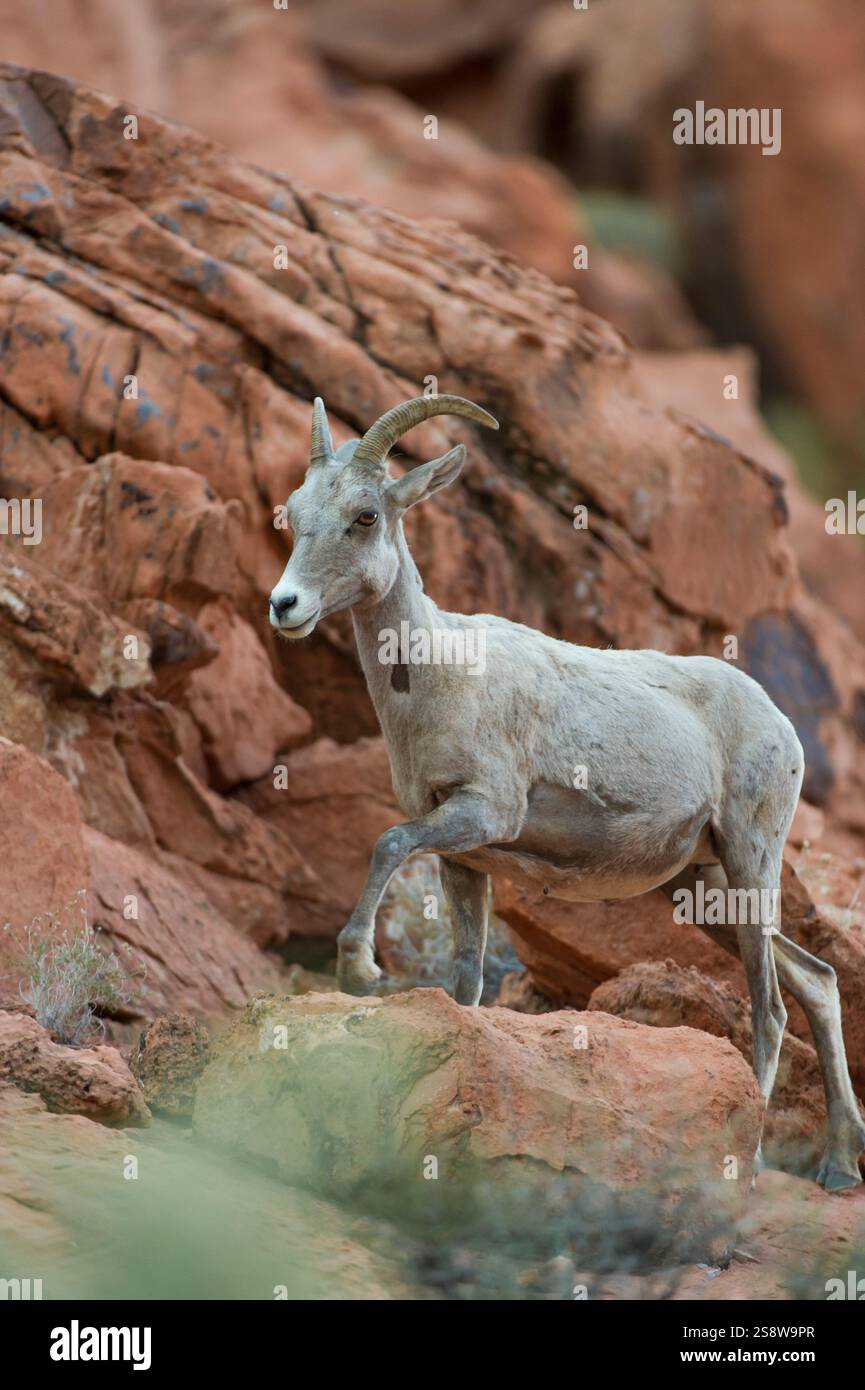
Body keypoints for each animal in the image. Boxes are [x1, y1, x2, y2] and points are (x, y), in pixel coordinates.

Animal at [269, 393, 865, 1191]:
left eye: (365, 516)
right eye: (295, 510)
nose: (285, 605)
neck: (435, 675)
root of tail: (780, 724)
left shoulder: (482, 812)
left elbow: (386, 843)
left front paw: (358, 967)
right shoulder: (462, 858)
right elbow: (465, 982)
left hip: (749, 861)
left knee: (770, 1008)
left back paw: (756, 1159)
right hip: (700, 887)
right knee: (818, 980)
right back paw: (837, 1167)